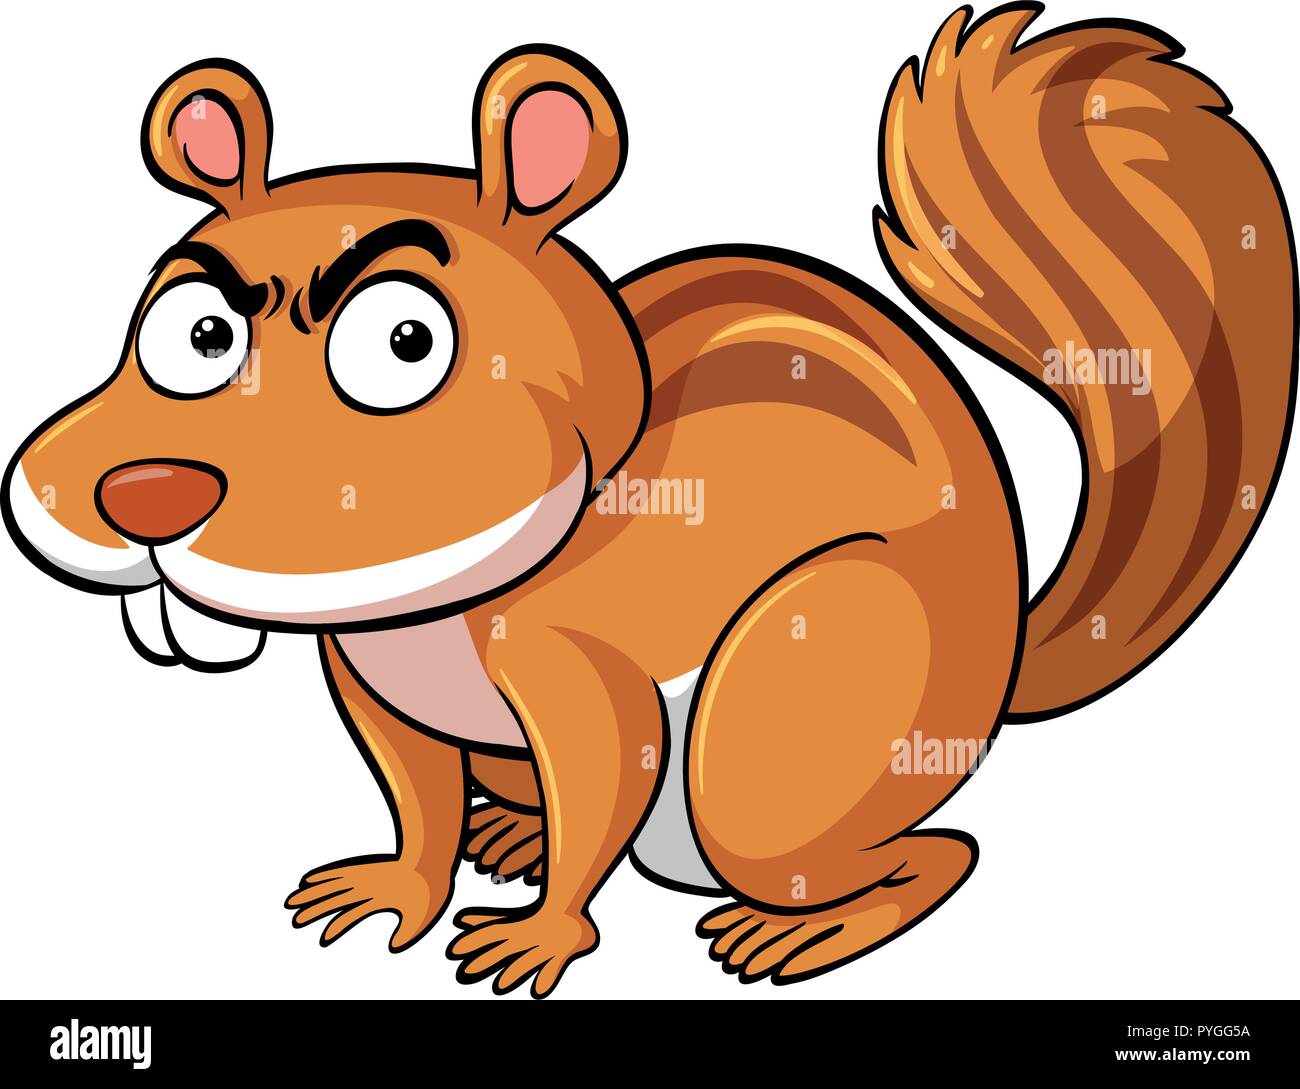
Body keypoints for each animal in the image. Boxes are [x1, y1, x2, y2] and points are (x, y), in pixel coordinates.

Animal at [3, 4, 1294, 996]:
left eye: (405, 342)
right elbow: (416, 798)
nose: (147, 497)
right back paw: (510, 831)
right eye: (191, 334)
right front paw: (402, 887)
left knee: (937, 853)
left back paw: (803, 927)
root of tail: (1004, 650)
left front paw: (536, 939)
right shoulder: (373, 692)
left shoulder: (583, 678)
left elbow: (600, 784)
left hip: (786, 727)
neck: (428, 613)